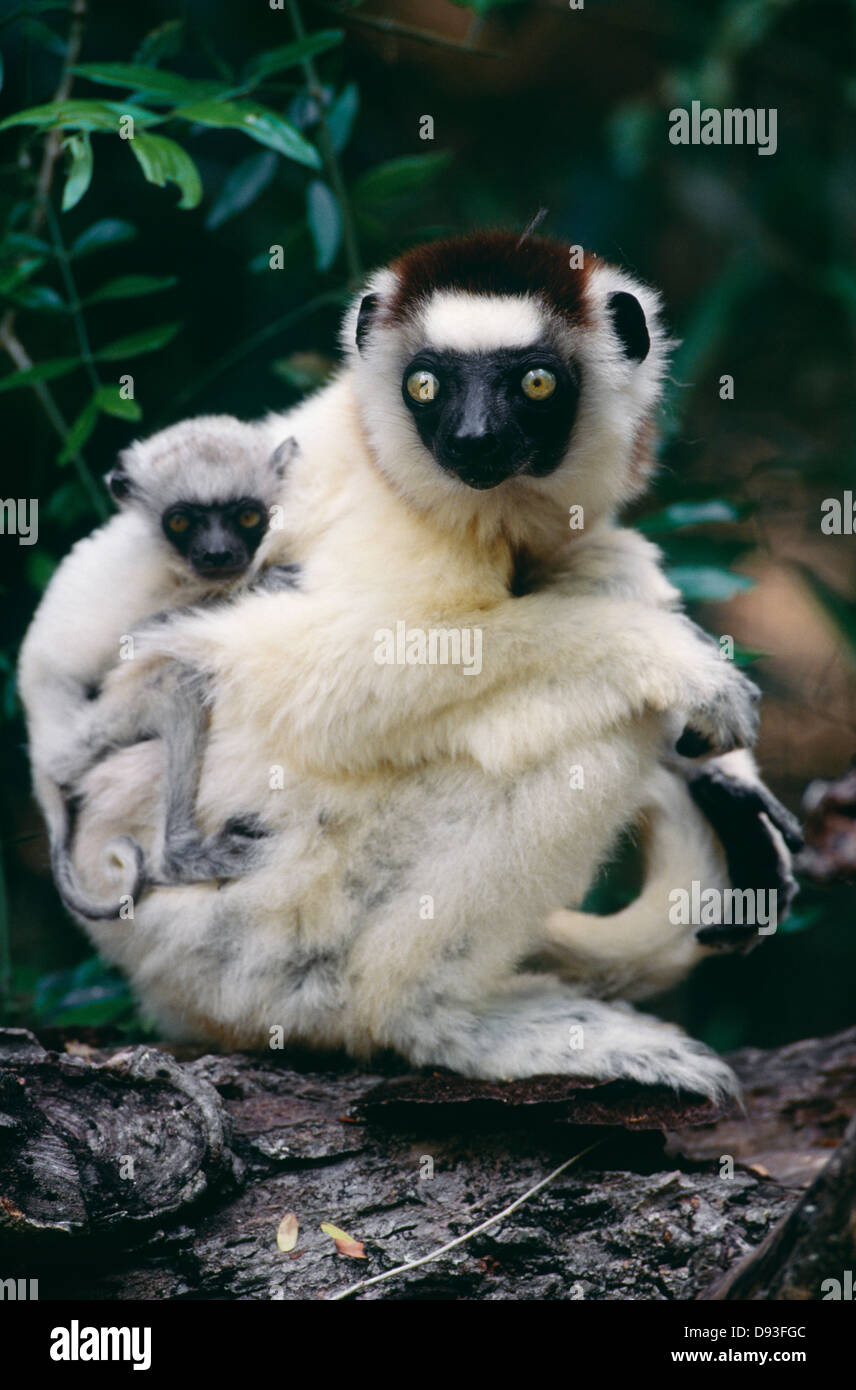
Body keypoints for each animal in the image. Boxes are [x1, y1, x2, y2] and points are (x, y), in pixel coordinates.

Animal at [17, 415, 299, 920]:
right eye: (181, 522)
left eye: (246, 517)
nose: (217, 554)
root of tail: (40, 750)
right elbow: (137, 644)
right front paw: (259, 584)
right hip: (84, 742)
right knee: (177, 684)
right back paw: (177, 859)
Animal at [52, 232, 797, 1102]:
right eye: (426, 386)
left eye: (536, 383)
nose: (472, 441)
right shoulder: (394, 514)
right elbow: (317, 680)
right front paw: (678, 667)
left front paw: (726, 779)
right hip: (258, 918)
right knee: (595, 726)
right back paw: (437, 1017)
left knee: (601, 560)